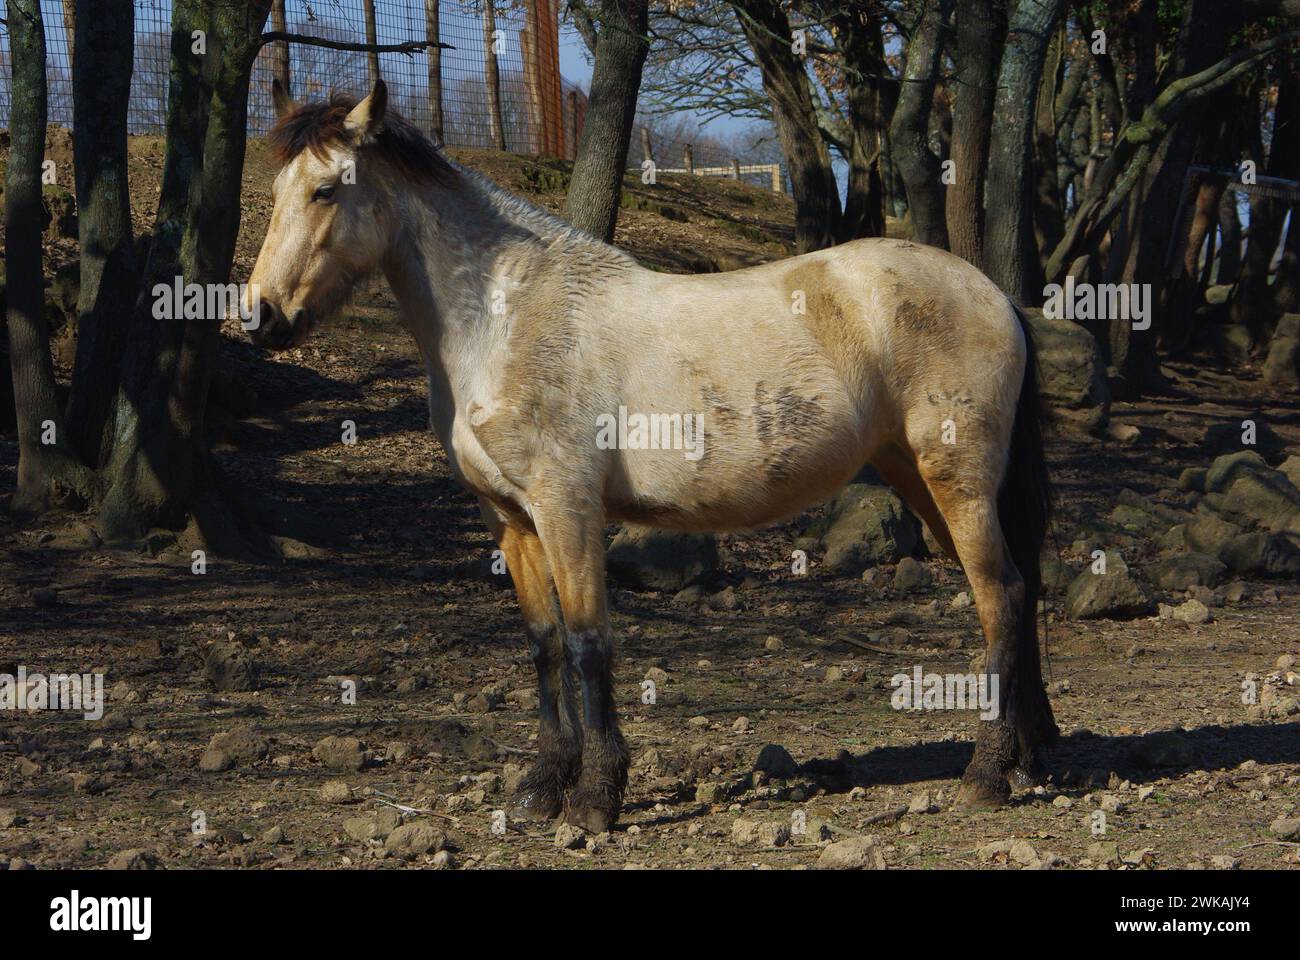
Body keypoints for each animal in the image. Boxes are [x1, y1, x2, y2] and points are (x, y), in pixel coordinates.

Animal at [244, 79, 1058, 834]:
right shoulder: (510, 518)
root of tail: (993, 295)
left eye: (325, 189)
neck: (504, 322)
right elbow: (543, 645)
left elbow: (587, 643)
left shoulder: (567, 507)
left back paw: (987, 775)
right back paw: (1030, 760)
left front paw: (596, 798)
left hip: (957, 482)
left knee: (999, 598)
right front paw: (541, 787)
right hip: (916, 477)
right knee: (1016, 596)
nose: (258, 316)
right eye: (277, 190)